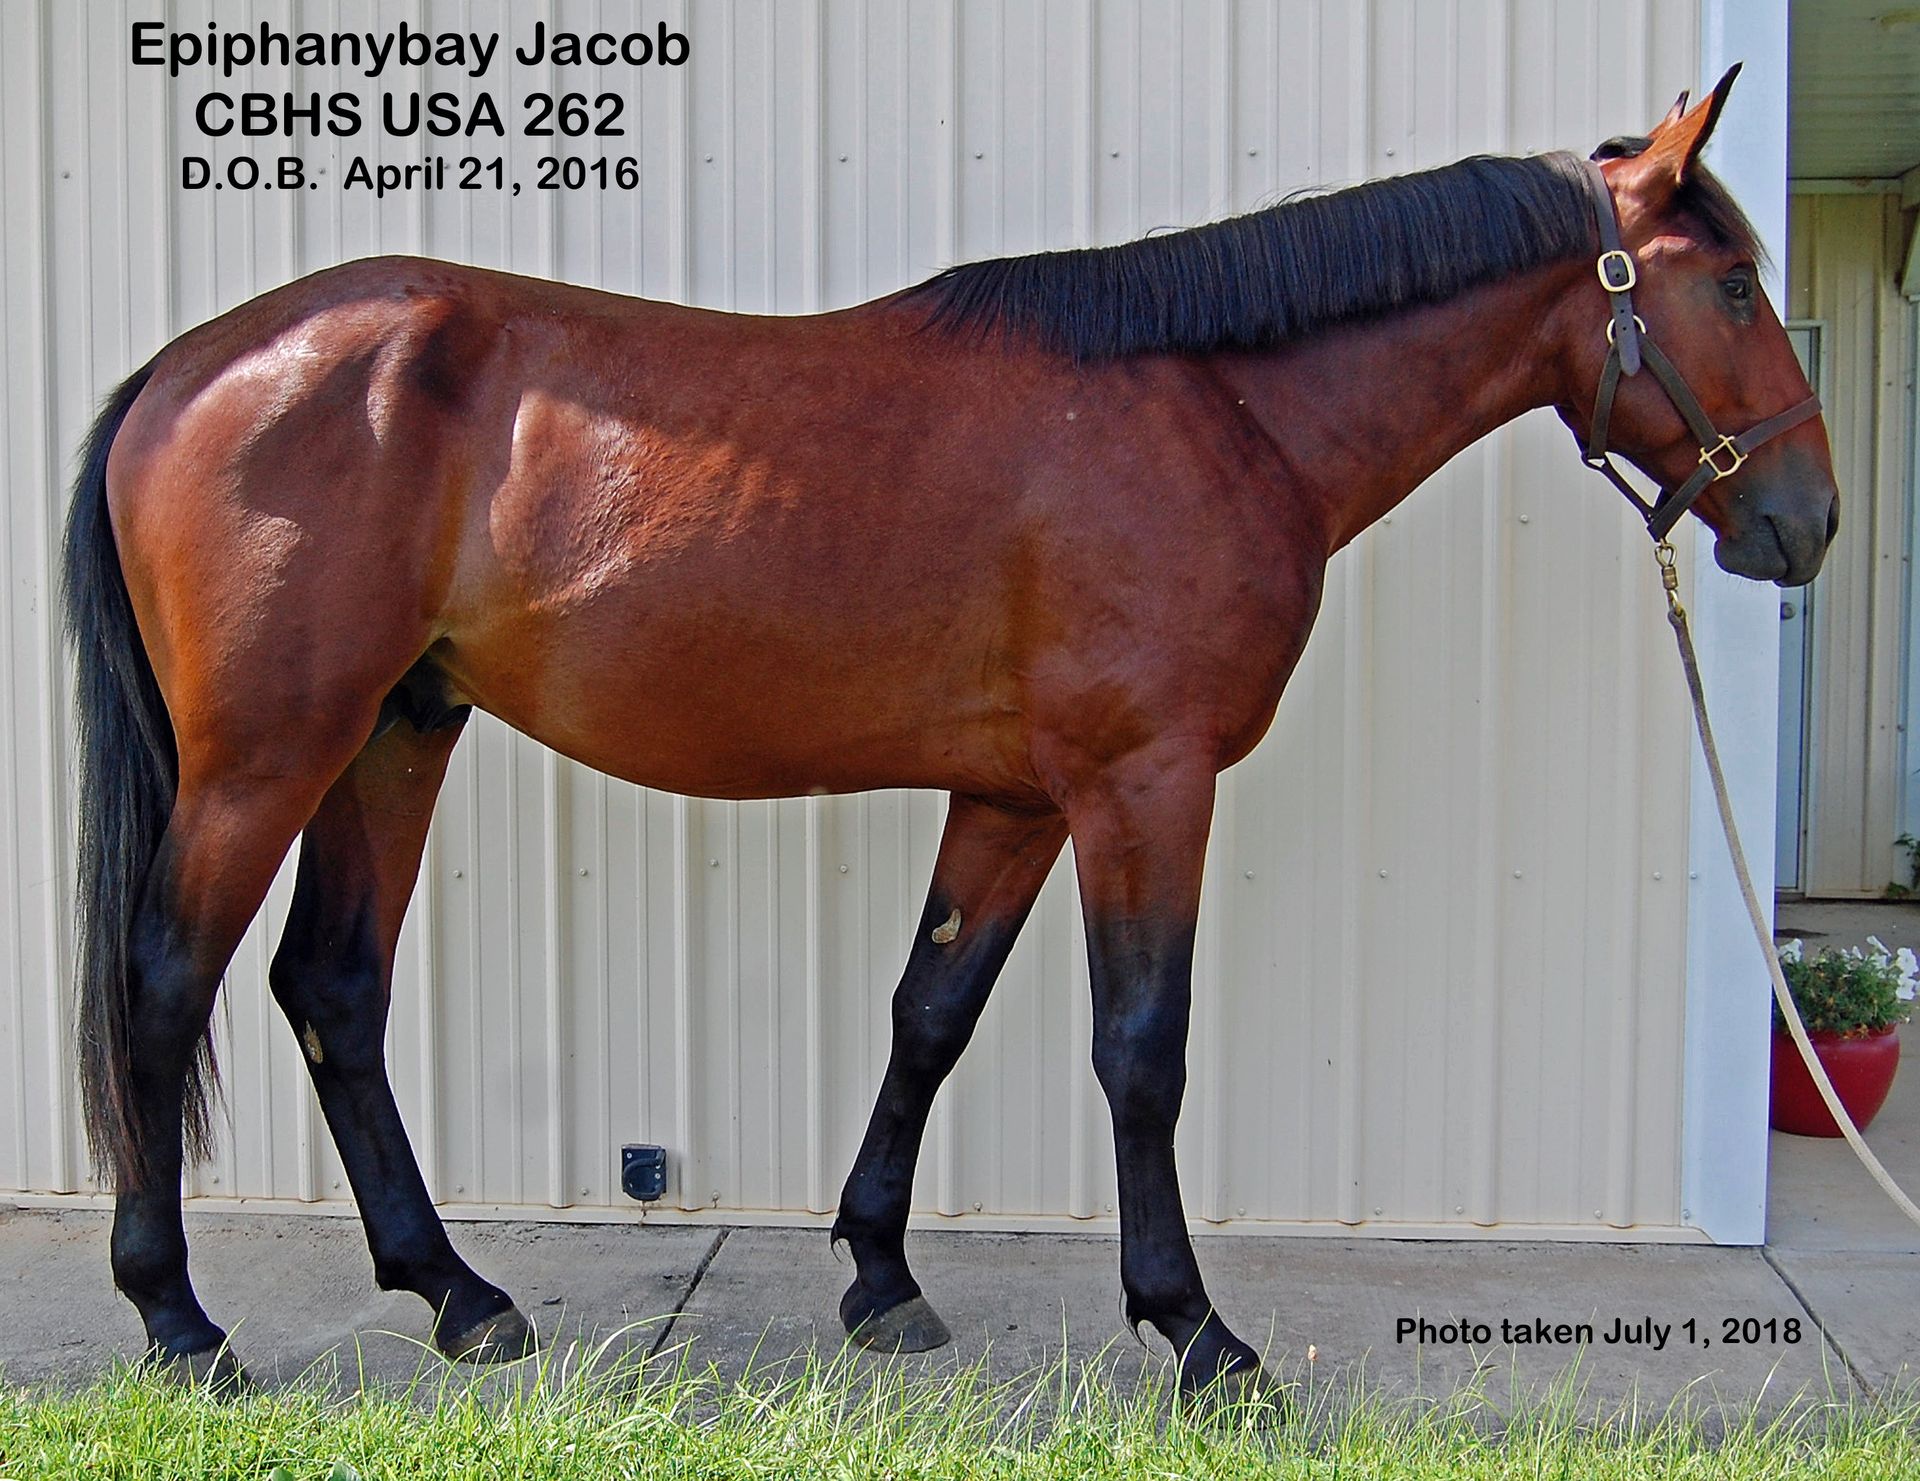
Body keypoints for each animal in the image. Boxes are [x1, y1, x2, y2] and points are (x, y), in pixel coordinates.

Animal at [63, 65, 1835, 1395]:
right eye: (1738, 281)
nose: (1806, 524)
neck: (1218, 406)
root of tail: (190, 366)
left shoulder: (1017, 799)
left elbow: (931, 1014)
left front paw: (881, 1279)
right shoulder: (1143, 785)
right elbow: (1141, 1050)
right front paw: (1197, 1333)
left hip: (395, 733)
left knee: (331, 990)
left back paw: (456, 1295)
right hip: (265, 759)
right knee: (164, 985)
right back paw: (181, 1321)